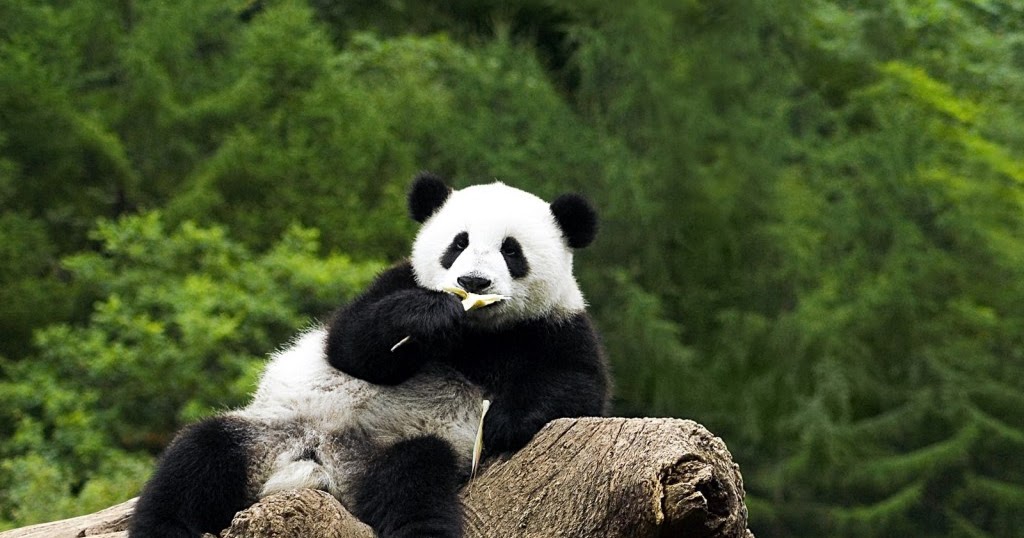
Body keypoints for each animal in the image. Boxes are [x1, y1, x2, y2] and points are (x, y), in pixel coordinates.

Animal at [128, 173, 611, 538]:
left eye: (511, 250)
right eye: (458, 243)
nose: (472, 282)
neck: (477, 332)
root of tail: (318, 463)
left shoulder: (555, 325)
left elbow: (578, 387)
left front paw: (501, 422)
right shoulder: (395, 281)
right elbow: (350, 344)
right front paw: (429, 317)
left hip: (395, 449)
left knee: (412, 485)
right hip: (268, 432)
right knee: (196, 459)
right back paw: (165, 526)